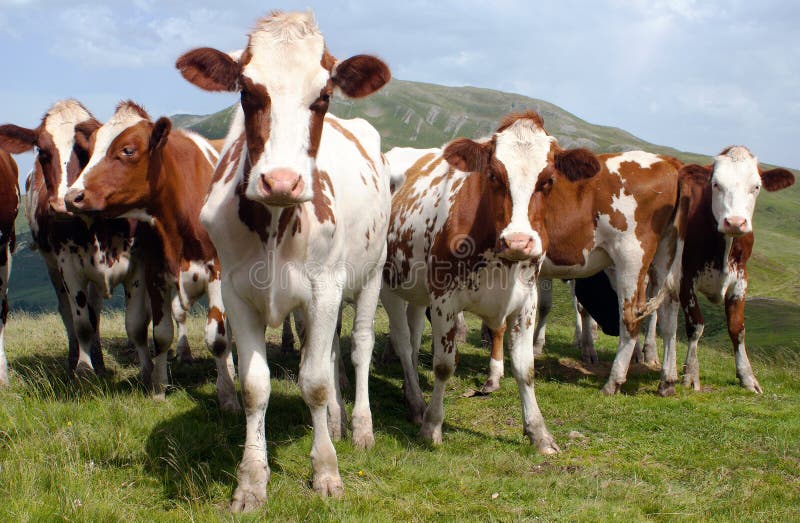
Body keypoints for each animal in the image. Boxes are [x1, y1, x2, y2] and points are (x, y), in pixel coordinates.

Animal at [0, 100, 154, 377]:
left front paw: (146, 371)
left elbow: (135, 323)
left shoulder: (137, 265)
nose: (63, 203)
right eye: (42, 151)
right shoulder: (69, 267)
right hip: (53, 268)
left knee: (96, 312)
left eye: (85, 151)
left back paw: (99, 360)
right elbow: (81, 322)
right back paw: (75, 360)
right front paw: (83, 368)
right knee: (68, 312)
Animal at [64, 101, 239, 409]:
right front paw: (158, 388)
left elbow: (217, 339)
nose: (73, 196)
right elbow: (161, 334)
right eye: (91, 149)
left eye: (128, 150)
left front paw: (228, 395)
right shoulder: (154, 272)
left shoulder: (217, 272)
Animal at [173, 11, 391, 511]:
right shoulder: (235, 292)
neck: (274, 222)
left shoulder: (325, 287)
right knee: (328, 350)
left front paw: (326, 471)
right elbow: (257, 386)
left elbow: (314, 381)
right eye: (248, 92)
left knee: (359, 346)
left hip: (371, 273)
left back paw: (359, 427)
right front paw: (252, 479)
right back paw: (335, 421)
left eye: (323, 95)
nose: (281, 182)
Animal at [382, 110, 607, 454]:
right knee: (404, 343)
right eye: (493, 175)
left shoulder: (526, 301)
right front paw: (433, 427)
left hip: (416, 292)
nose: (518, 241)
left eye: (548, 180)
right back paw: (418, 404)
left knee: (414, 333)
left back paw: (412, 396)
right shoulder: (445, 299)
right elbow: (444, 364)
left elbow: (525, 368)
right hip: (388, 288)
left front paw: (539, 432)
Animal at [657, 146, 795, 395]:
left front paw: (747, 377)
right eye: (716, 184)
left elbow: (737, 328)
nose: (735, 222)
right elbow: (695, 325)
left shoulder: (741, 278)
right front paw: (691, 374)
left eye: (756, 186)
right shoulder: (685, 277)